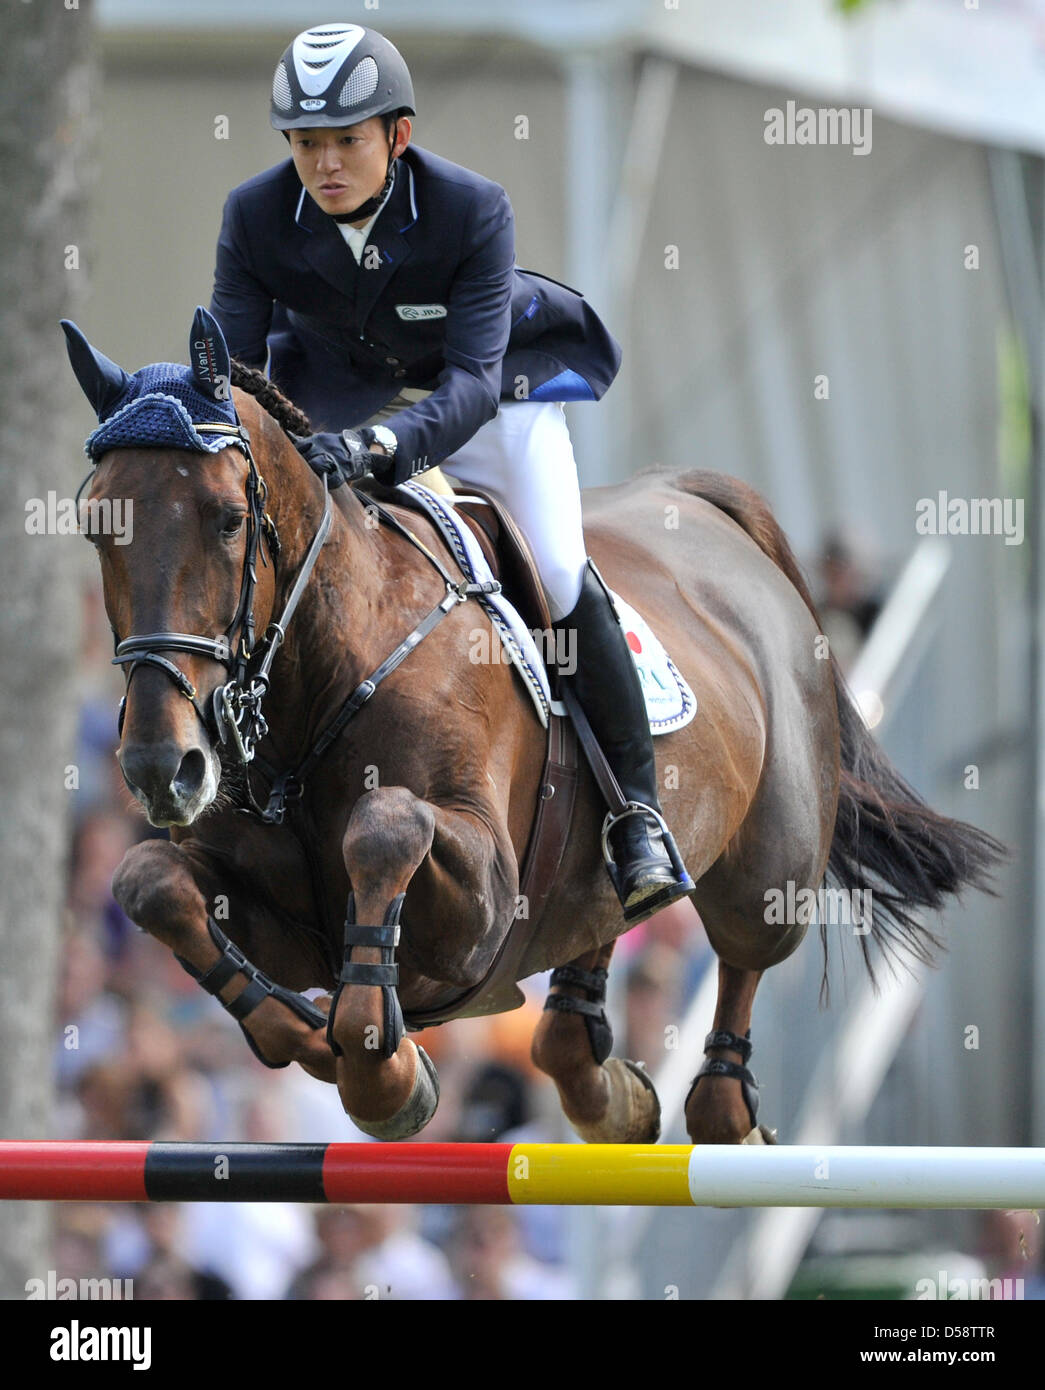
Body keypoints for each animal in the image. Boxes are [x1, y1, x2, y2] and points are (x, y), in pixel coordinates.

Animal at [62, 308, 1004, 1146]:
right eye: (95, 527)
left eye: (228, 519)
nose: (163, 768)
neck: (321, 677)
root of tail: (700, 506)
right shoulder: (280, 921)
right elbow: (149, 882)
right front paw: (308, 1038)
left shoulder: (480, 897)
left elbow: (383, 825)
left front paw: (384, 1077)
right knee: (594, 945)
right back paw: (606, 1084)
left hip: (768, 864)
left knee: (743, 947)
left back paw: (720, 1107)